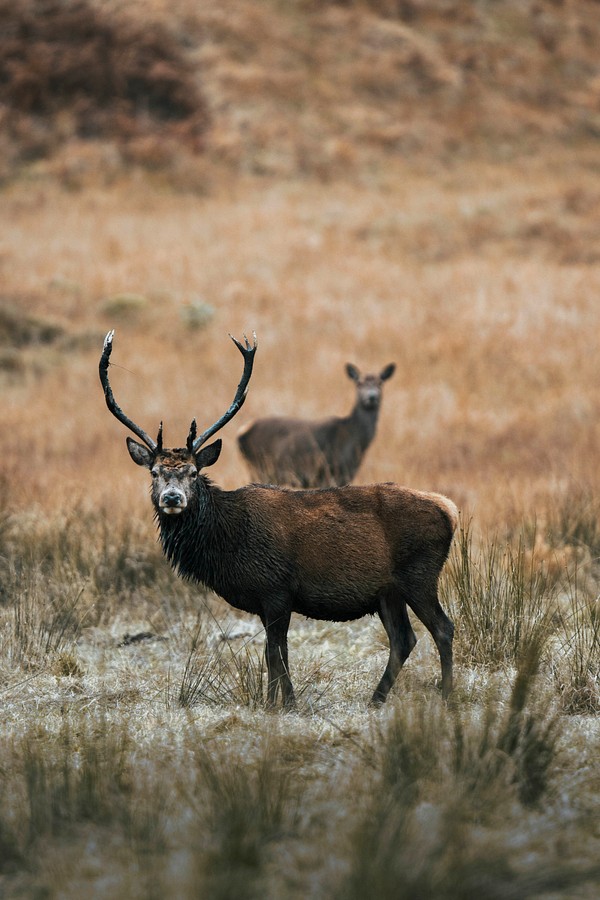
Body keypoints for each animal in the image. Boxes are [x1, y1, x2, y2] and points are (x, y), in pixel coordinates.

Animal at [236, 361, 396, 488]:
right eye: (359, 383)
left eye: (380, 383)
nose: (372, 397)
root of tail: (242, 432)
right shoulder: (328, 472)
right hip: (259, 467)